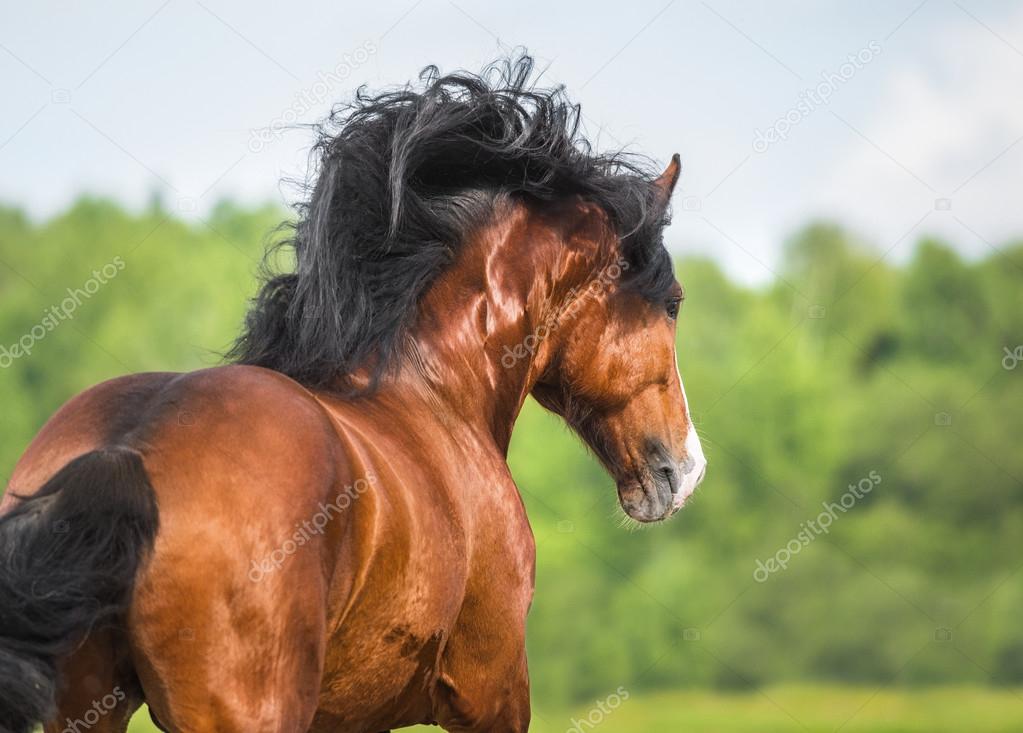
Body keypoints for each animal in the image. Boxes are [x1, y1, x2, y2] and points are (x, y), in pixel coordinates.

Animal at [0, 56, 706, 733]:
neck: (436, 393)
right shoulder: (495, 693)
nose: (688, 469)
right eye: (673, 303)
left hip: (89, 712)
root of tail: (127, 448)